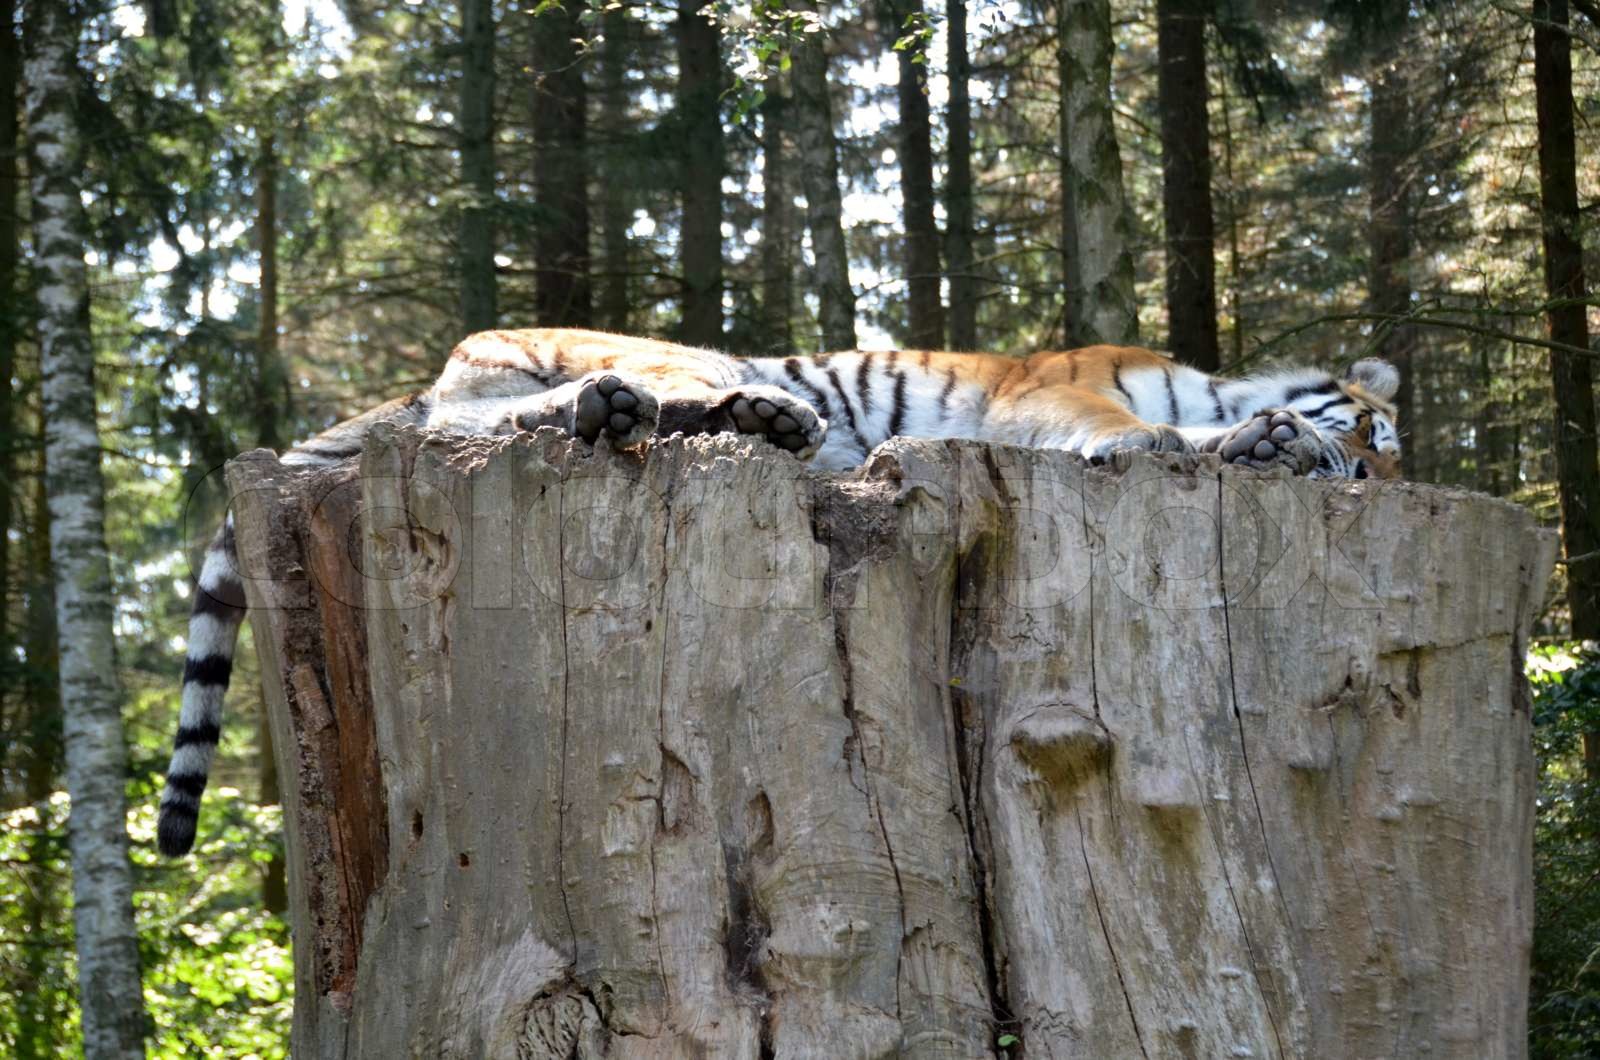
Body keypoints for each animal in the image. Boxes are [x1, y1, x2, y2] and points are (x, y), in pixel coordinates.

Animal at [157, 327, 1401, 856]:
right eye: (1379, 435)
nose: (1369, 483)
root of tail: (445, 358)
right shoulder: (1058, 395)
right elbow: (1138, 432)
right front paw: (1237, 438)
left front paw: (1258, 440)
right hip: (671, 357)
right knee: (597, 407)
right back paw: (748, 418)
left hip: (507, 409)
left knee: (508, 427)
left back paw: (687, 420)